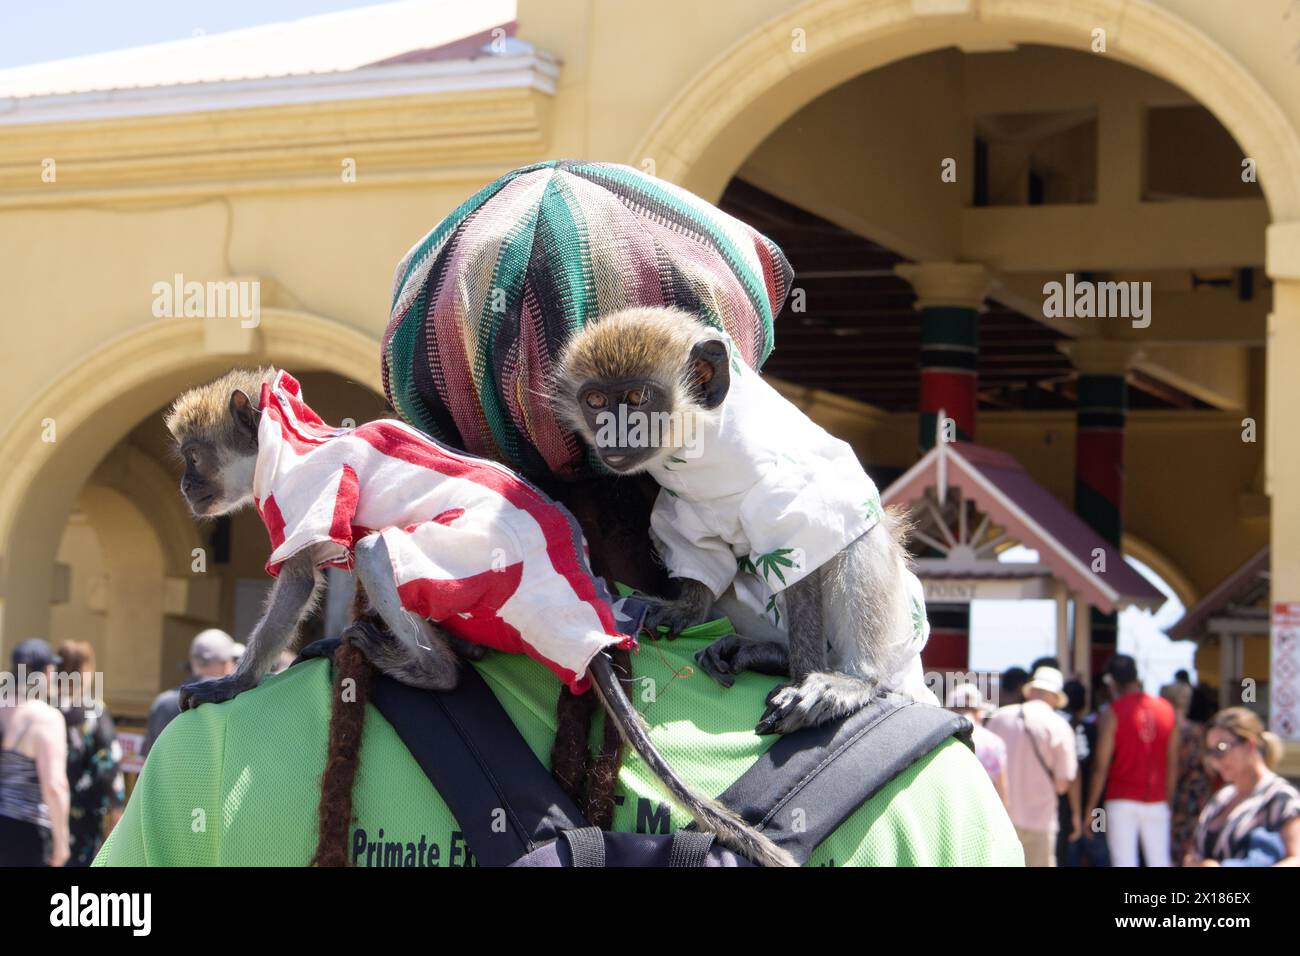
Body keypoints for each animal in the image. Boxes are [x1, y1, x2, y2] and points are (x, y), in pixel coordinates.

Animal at [164, 366, 795, 868]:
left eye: (194, 456)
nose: (185, 485)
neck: (288, 437)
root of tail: (580, 601)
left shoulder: (305, 491)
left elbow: (298, 581)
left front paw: (234, 682)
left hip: (481, 564)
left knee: (375, 551)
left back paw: (433, 668)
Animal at [550, 306, 937, 737]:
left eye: (637, 399)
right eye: (596, 401)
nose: (612, 433)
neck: (697, 441)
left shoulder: (781, 487)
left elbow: (801, 553)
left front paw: (803, 678)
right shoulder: (682, 501)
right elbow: (694, 547)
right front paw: (685, 610)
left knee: (858, 536)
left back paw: (852, 678)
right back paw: (771, 652)